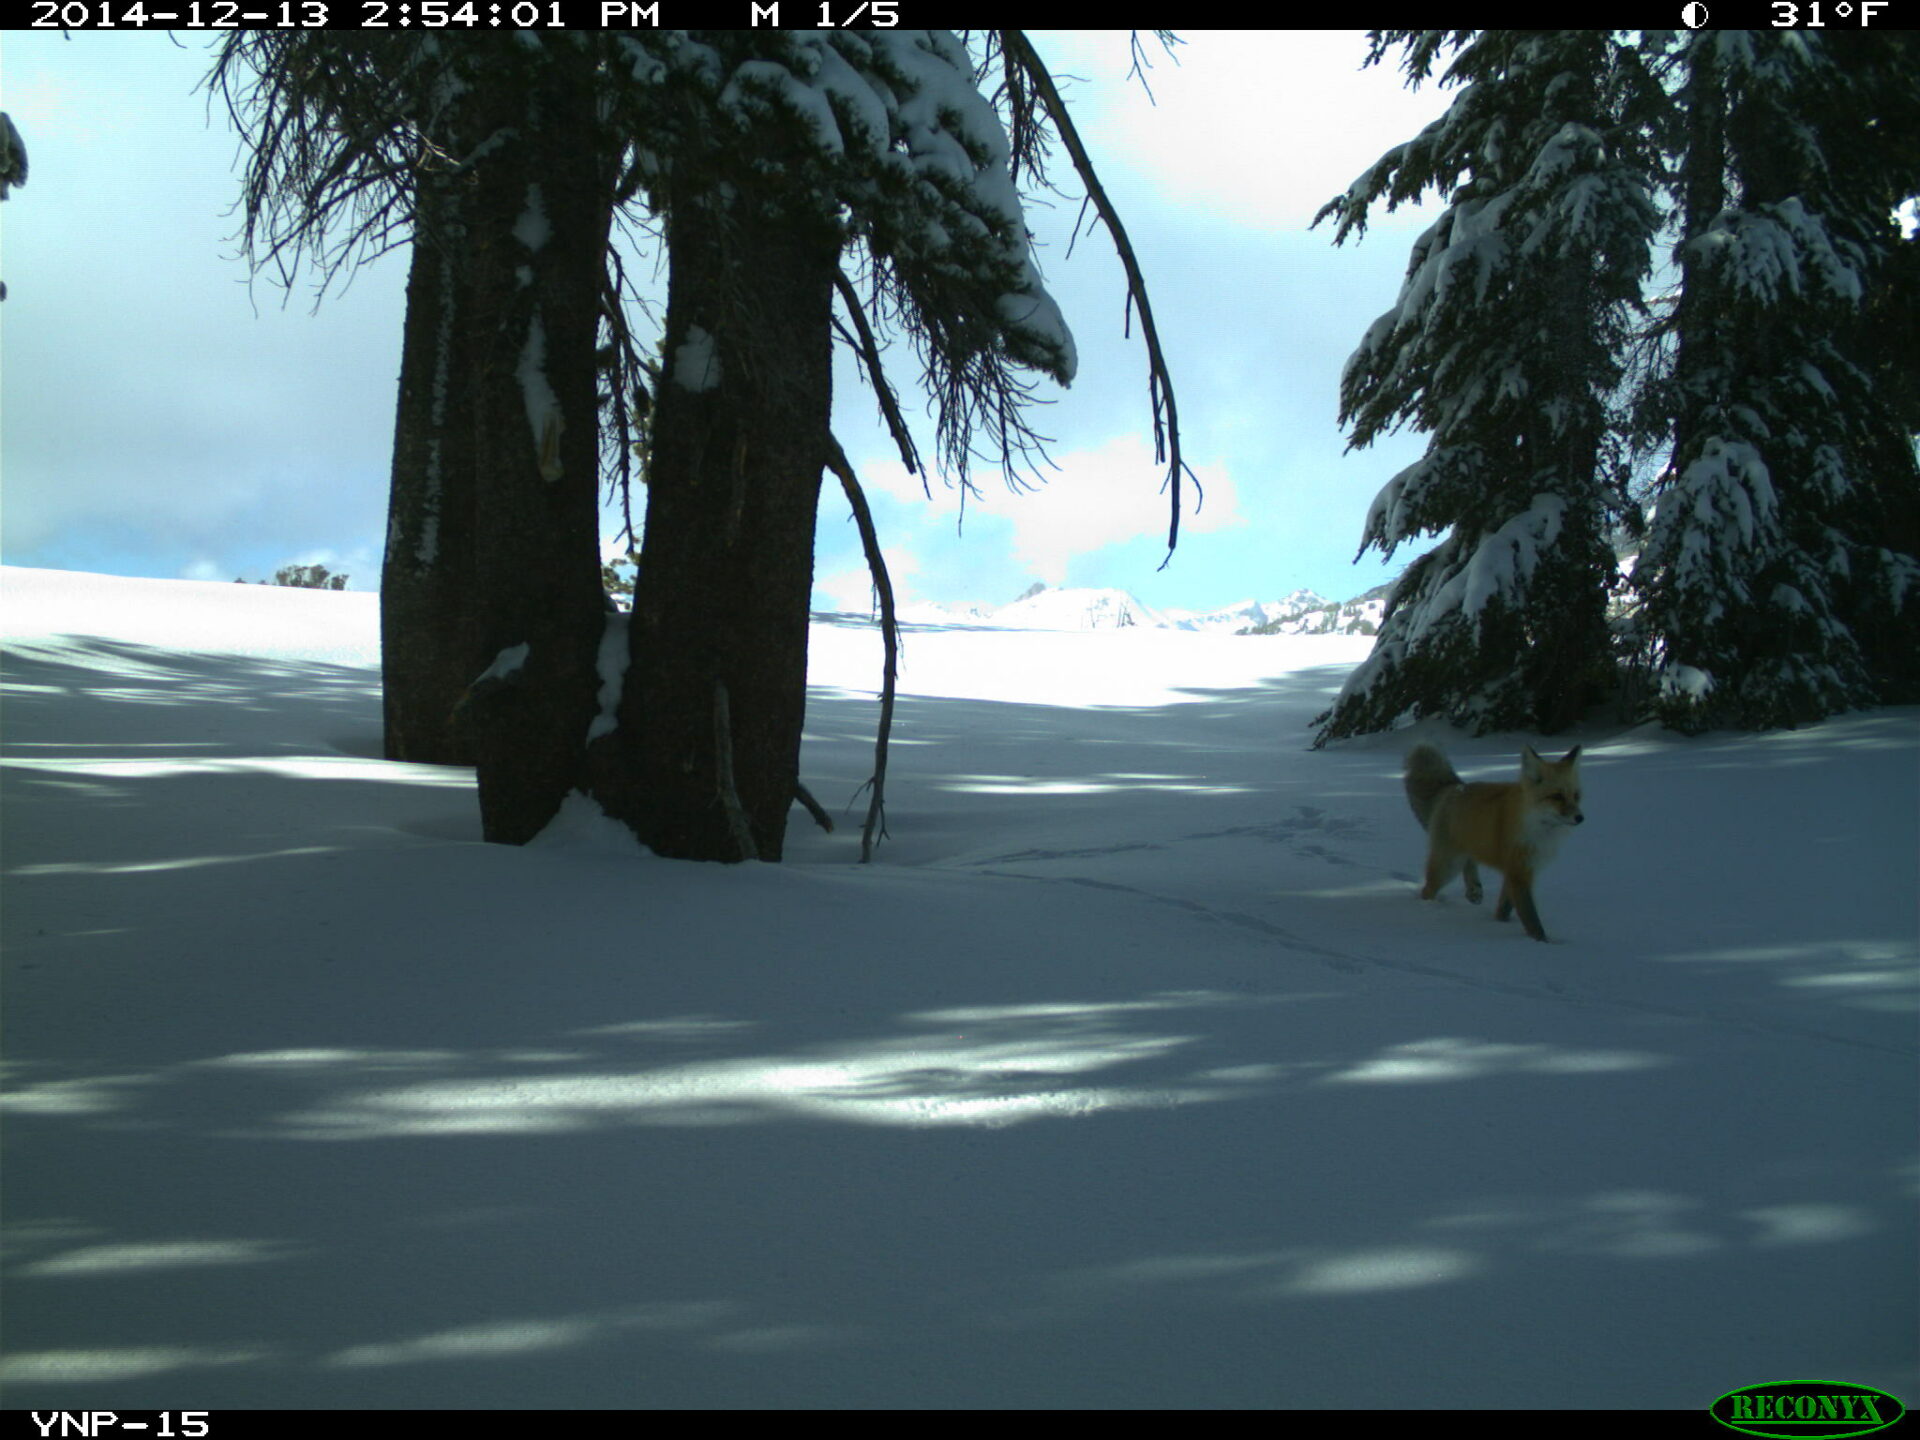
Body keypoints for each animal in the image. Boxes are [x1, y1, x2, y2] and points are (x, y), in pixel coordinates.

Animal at [1403, 743, 1584, 942]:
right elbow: (1531, 919)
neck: (1536, 828)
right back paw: (1429, 910)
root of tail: (1453, 787)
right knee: (1428, 889)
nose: (1580, 818)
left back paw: (1474, 890)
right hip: (1448, 865)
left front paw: (1499, 923)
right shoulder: (1519, 872)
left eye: (1576, 796)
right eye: (1557, 796)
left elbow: (1504, 908)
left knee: (1470, 860)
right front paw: (1542, 942)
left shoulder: (1519, 869)